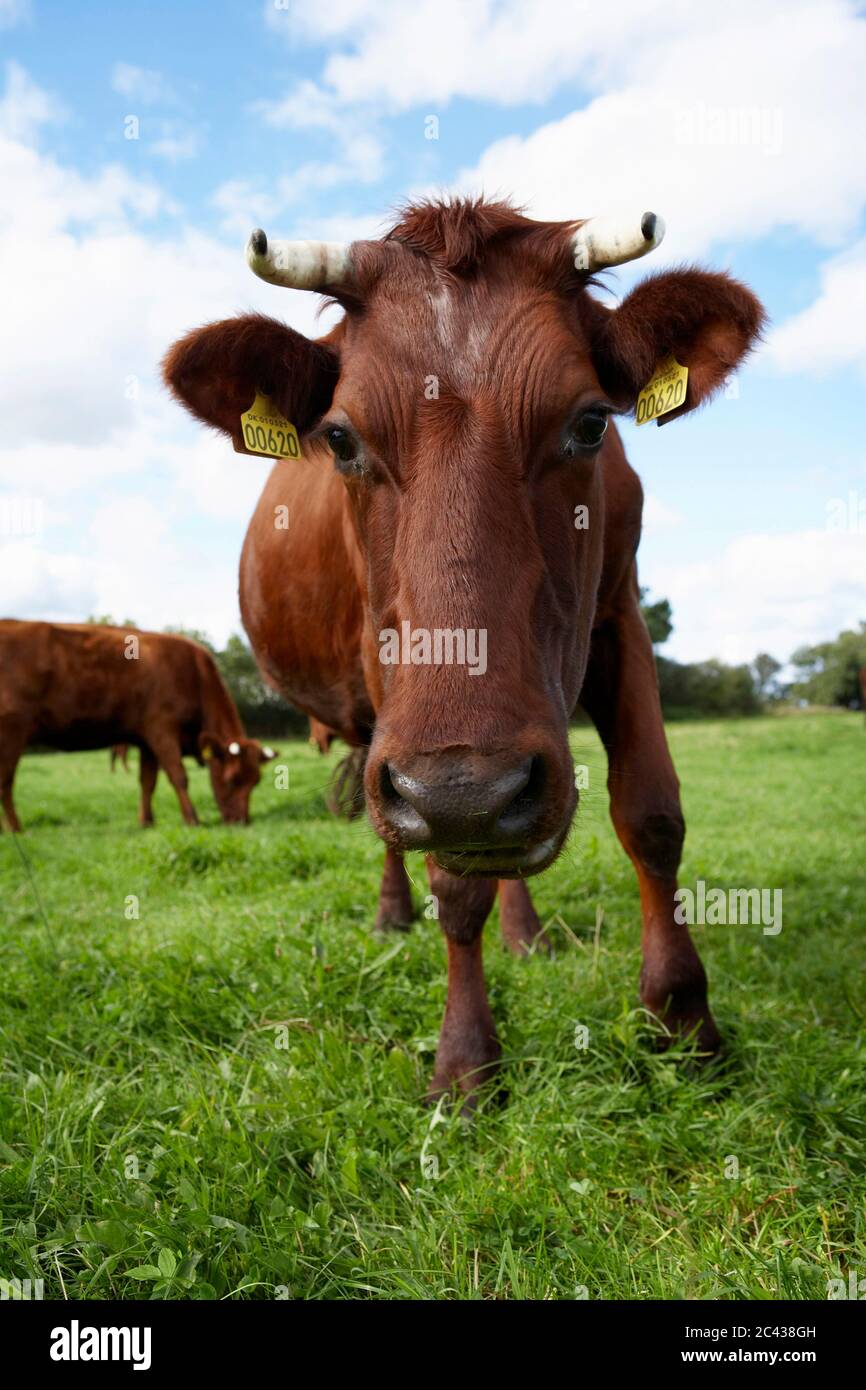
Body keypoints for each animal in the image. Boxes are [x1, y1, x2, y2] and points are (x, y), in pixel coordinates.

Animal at [0, 621, 276, 830]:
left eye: (255, 781)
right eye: (232, 779)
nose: (241, 822)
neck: (194, 675)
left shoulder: (146, 742)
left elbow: (147, 782)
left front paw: (147, 821)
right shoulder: (162, 730)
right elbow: (179, 776)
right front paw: (192, 819)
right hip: (12, 731)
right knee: (5, 781)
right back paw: (15, 829)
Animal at [164, 198, 765, 1106]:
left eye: (591, 422)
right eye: (340, 440)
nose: (466, 791)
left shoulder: (619, 613)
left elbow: (653, 815)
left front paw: (687, 1023)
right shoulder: (391, 690)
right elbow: (450, 877)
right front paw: (465, 1061)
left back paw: (526, 930)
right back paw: (393, 913)